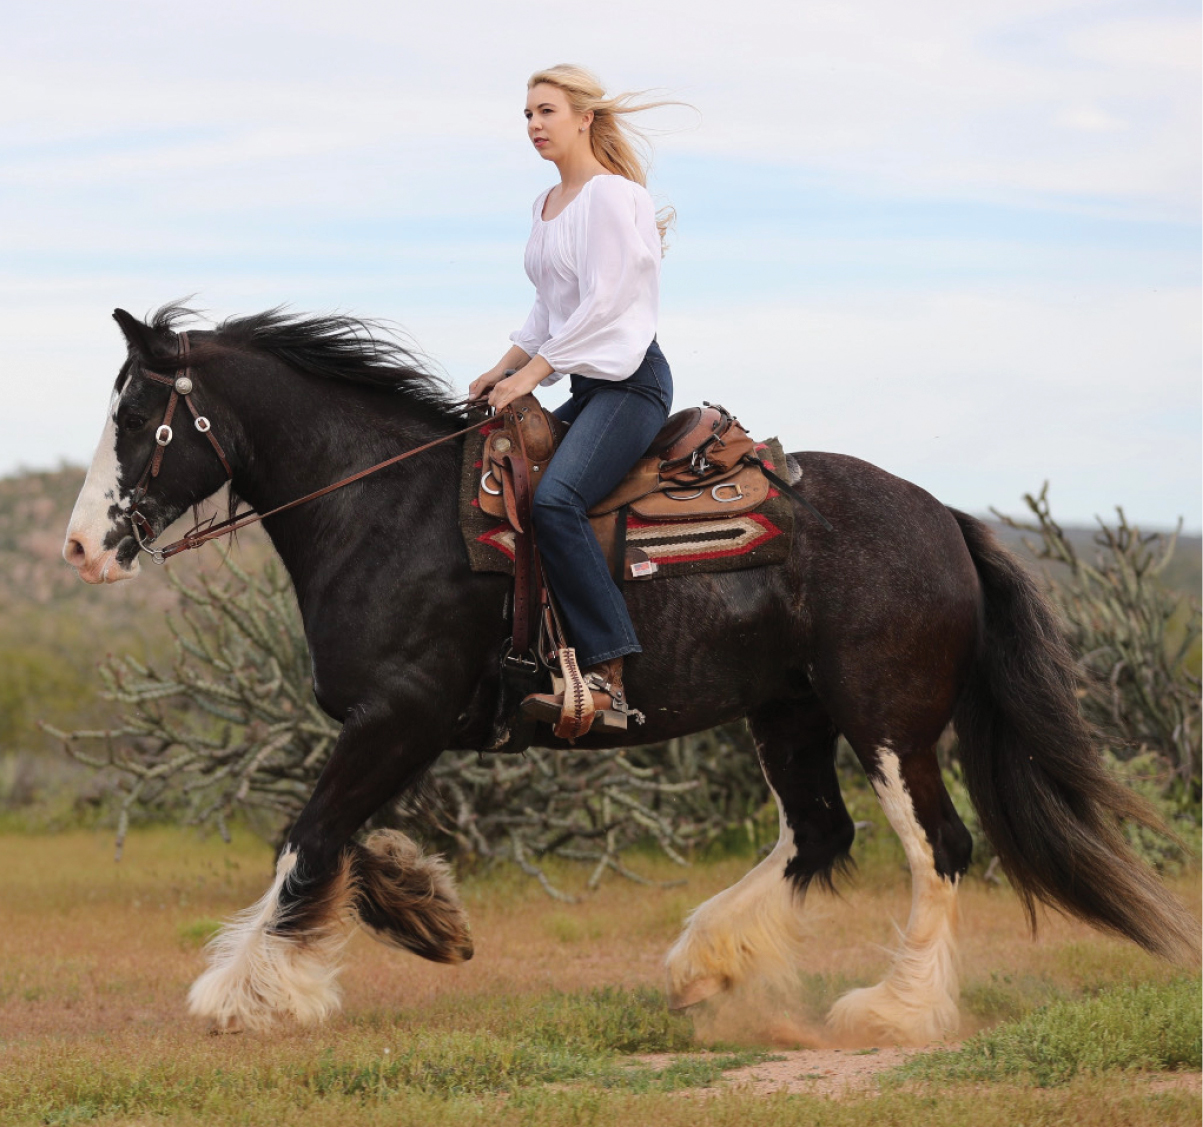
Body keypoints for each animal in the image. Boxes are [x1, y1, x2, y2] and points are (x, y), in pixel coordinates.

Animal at [63, 304, 1198, 1040]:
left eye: (135, 419)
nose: (79, 548)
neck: (386, 509)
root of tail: (944, 517)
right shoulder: (404, 725)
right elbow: (332, 834)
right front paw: (423, 912)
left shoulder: (401, 714)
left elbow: (308, 832)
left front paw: (250, 990)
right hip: (788, 713)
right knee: (818, 833)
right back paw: (708, 966)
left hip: (890, 719)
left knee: (938, 847)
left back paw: (895, 1010)